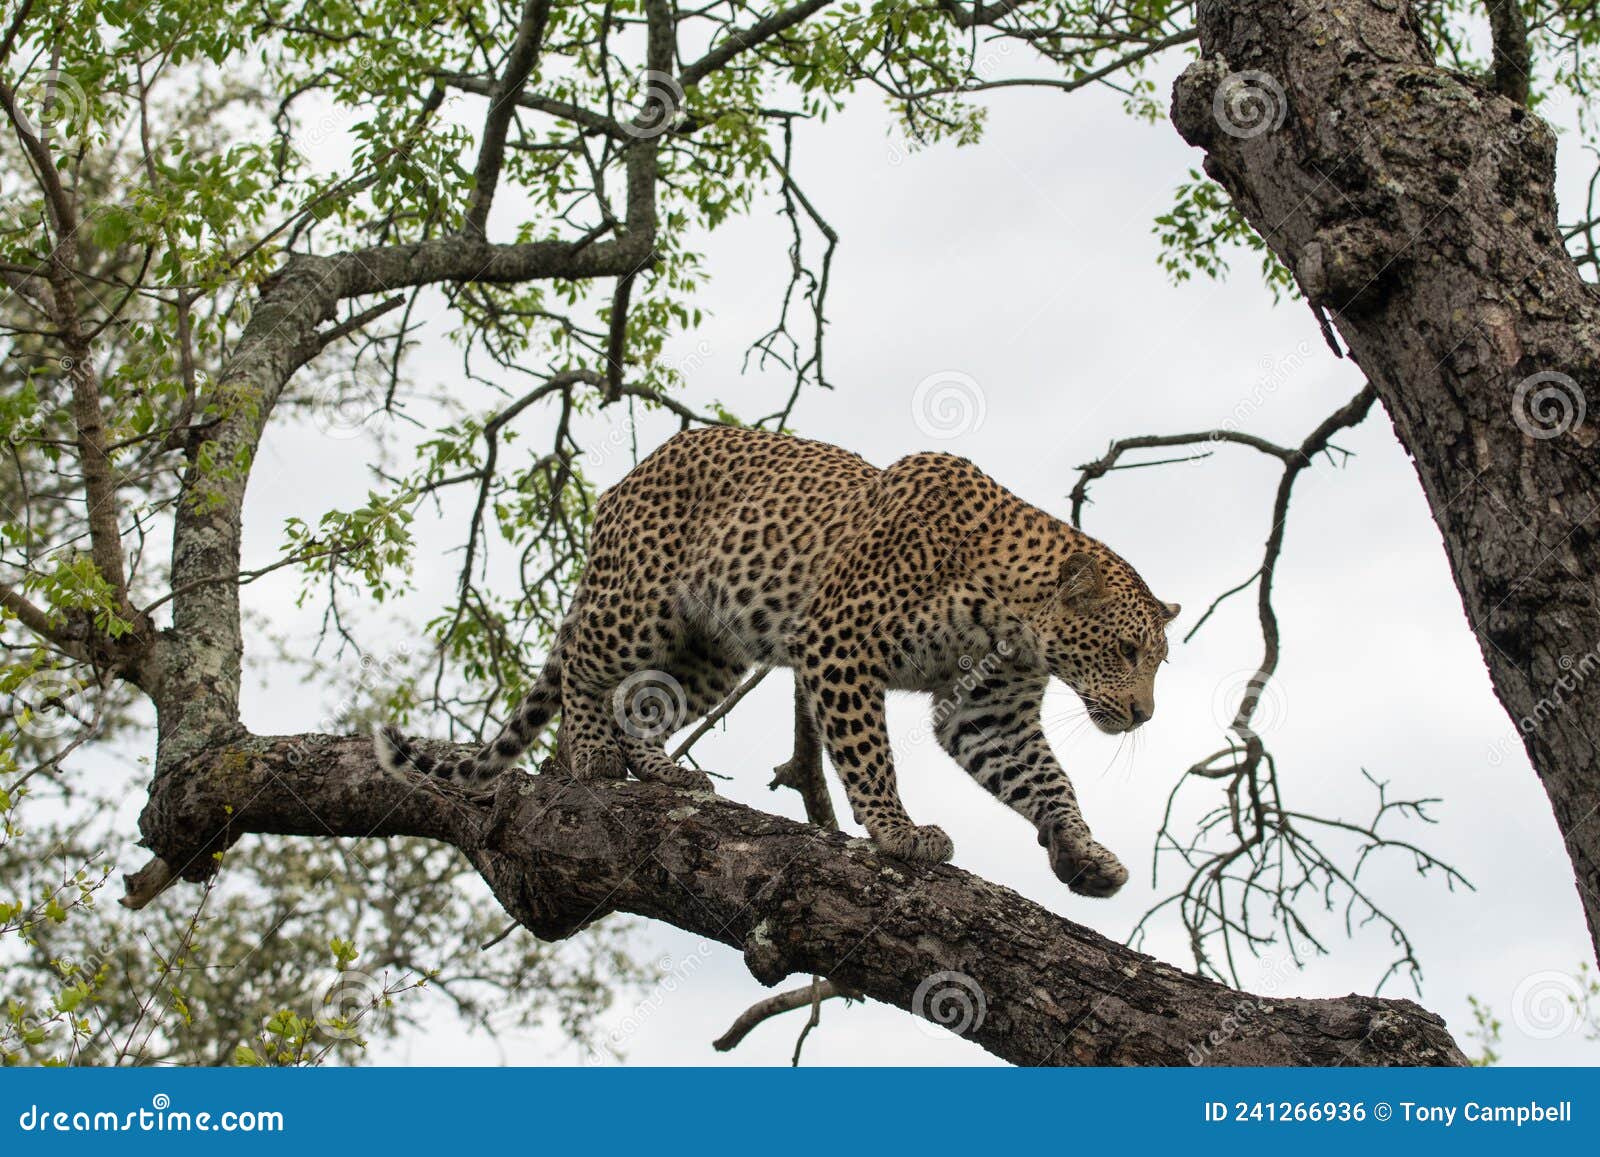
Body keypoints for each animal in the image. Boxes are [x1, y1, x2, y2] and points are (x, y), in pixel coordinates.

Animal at [375, 426, 1179, 897]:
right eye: (1127, 649)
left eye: (1157, 660)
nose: (1144, 714)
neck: (1012, 615)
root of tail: (623, 483)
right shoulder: (840, 643)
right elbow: (870, 757)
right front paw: (897, 832)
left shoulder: (991, 712)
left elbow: (1047, 779)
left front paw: (1083, 852)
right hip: (638, 603)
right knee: (581, 660)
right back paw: (595, 753)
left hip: (712, 646)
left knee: (644, 700)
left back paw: (662, 769)